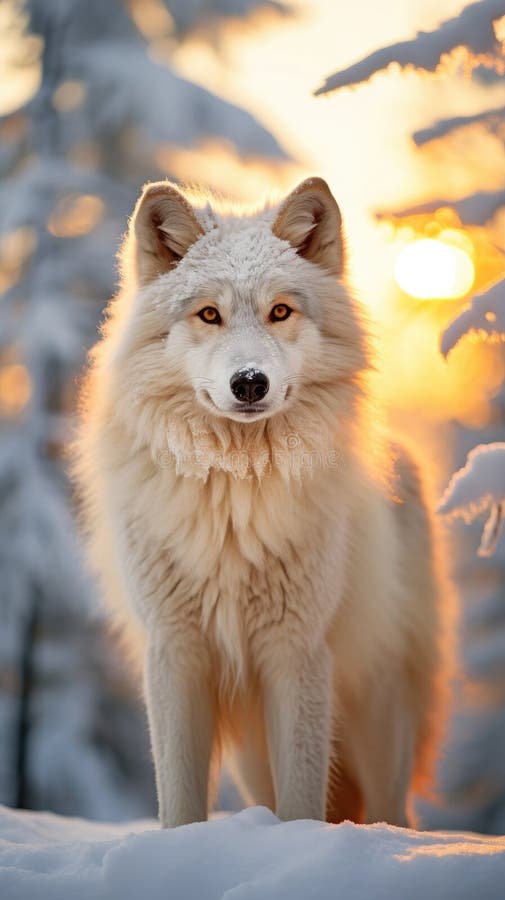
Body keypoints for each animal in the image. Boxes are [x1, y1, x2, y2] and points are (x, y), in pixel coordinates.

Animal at [74, 177, 450, 828]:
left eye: (280, 311)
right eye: (209, 314)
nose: (249, 382)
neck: (235, 489)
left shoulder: (296, 653)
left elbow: (303, 799)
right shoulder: (175, 654)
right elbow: (180, 801)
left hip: (378, 719)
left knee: (390, 808)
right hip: (252, 758)